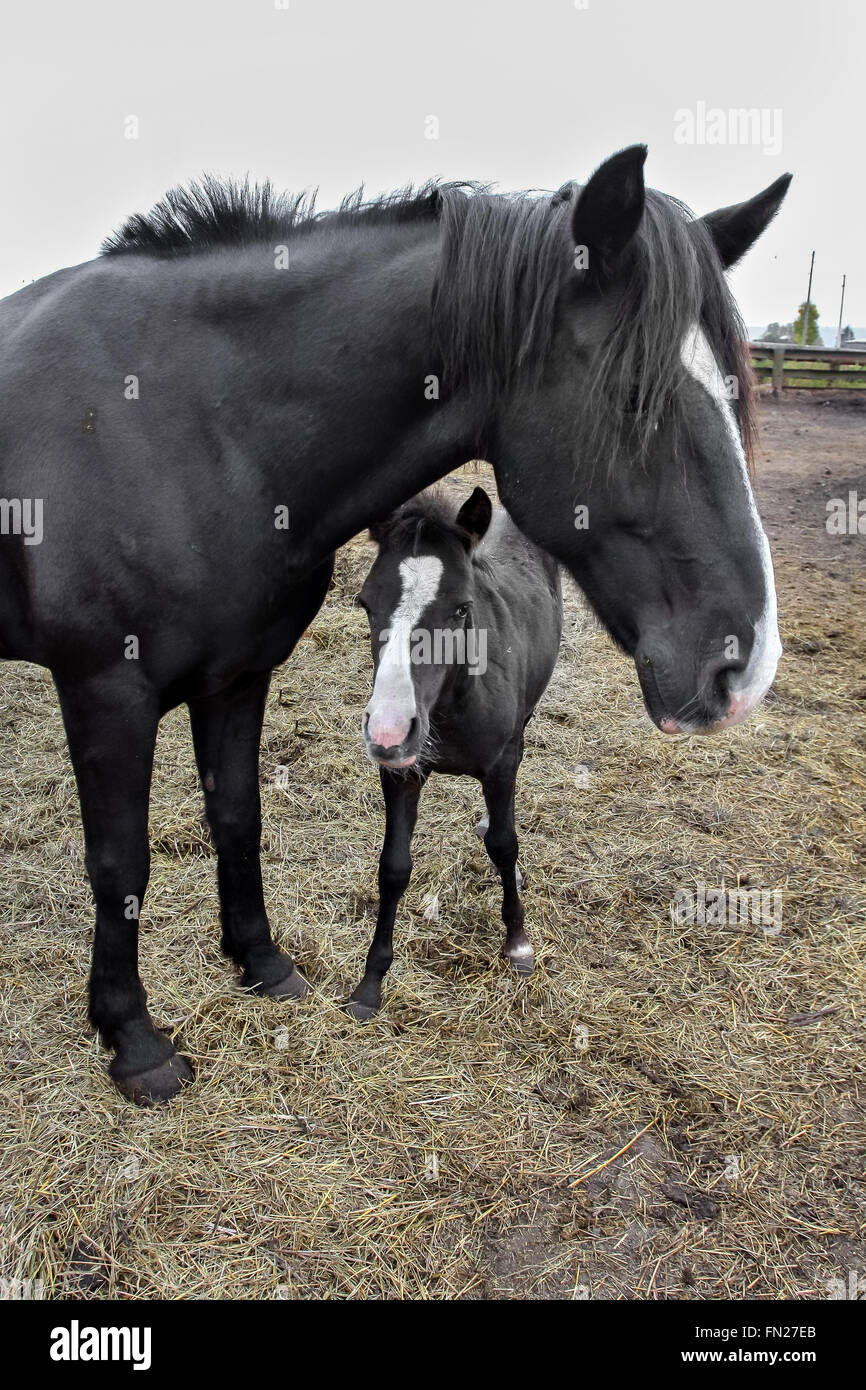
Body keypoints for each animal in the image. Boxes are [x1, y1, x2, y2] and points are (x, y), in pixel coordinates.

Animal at [349, 484, 562, 1019]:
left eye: (462, 608)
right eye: (364, 603)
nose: (387, 731)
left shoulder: (503, 763)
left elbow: (505, 844)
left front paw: (518, 944)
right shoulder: (402, 774)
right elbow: (394, 866)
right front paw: (370, 984)